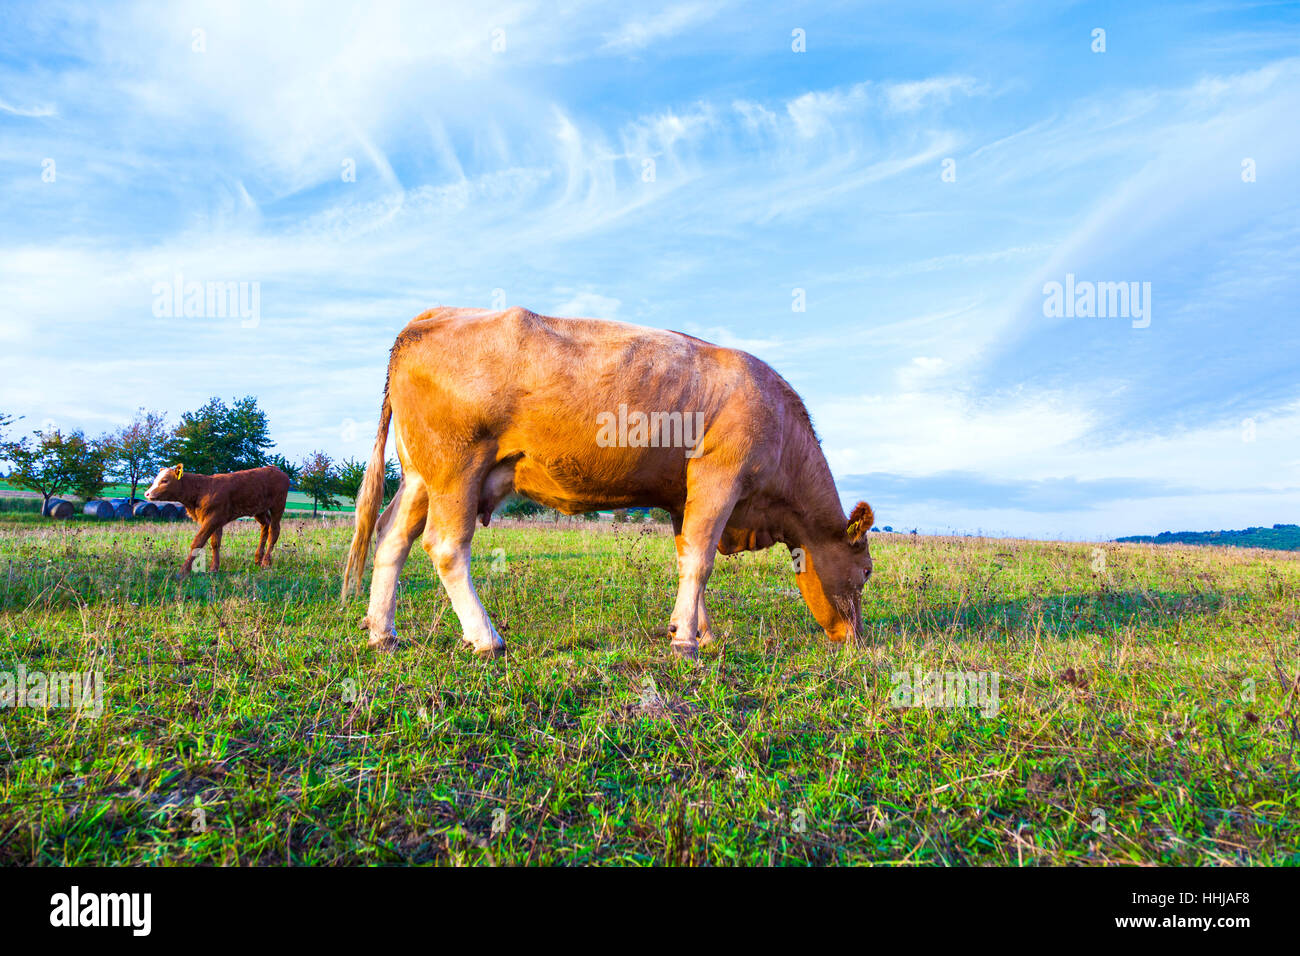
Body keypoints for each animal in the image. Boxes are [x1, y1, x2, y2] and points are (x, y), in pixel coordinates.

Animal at [145, 464, 291, 576]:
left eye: (165, 480)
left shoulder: (213, 518)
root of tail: (275, 468)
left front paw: (183, 571)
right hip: (259, 509)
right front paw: (214, 568)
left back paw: (266, 562)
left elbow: (198, 542)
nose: (147, 493)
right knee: (265, 526)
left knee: (274, 530)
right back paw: (258, 558)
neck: (201, 489)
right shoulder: (216, 519)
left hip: (278, 505)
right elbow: (215, 543)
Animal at [341, 306, 874, 658]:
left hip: (420, 475)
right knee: (447, 546)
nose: (855, 638)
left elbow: (687, 556)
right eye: (866, 572)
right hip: (457, 469)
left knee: (392, 537)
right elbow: (701, 559)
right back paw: (487, 639)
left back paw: (383, 632)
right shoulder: (718, 476)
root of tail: (430, 317)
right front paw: (687, 642)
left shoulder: (682, 497)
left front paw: (697, 630)